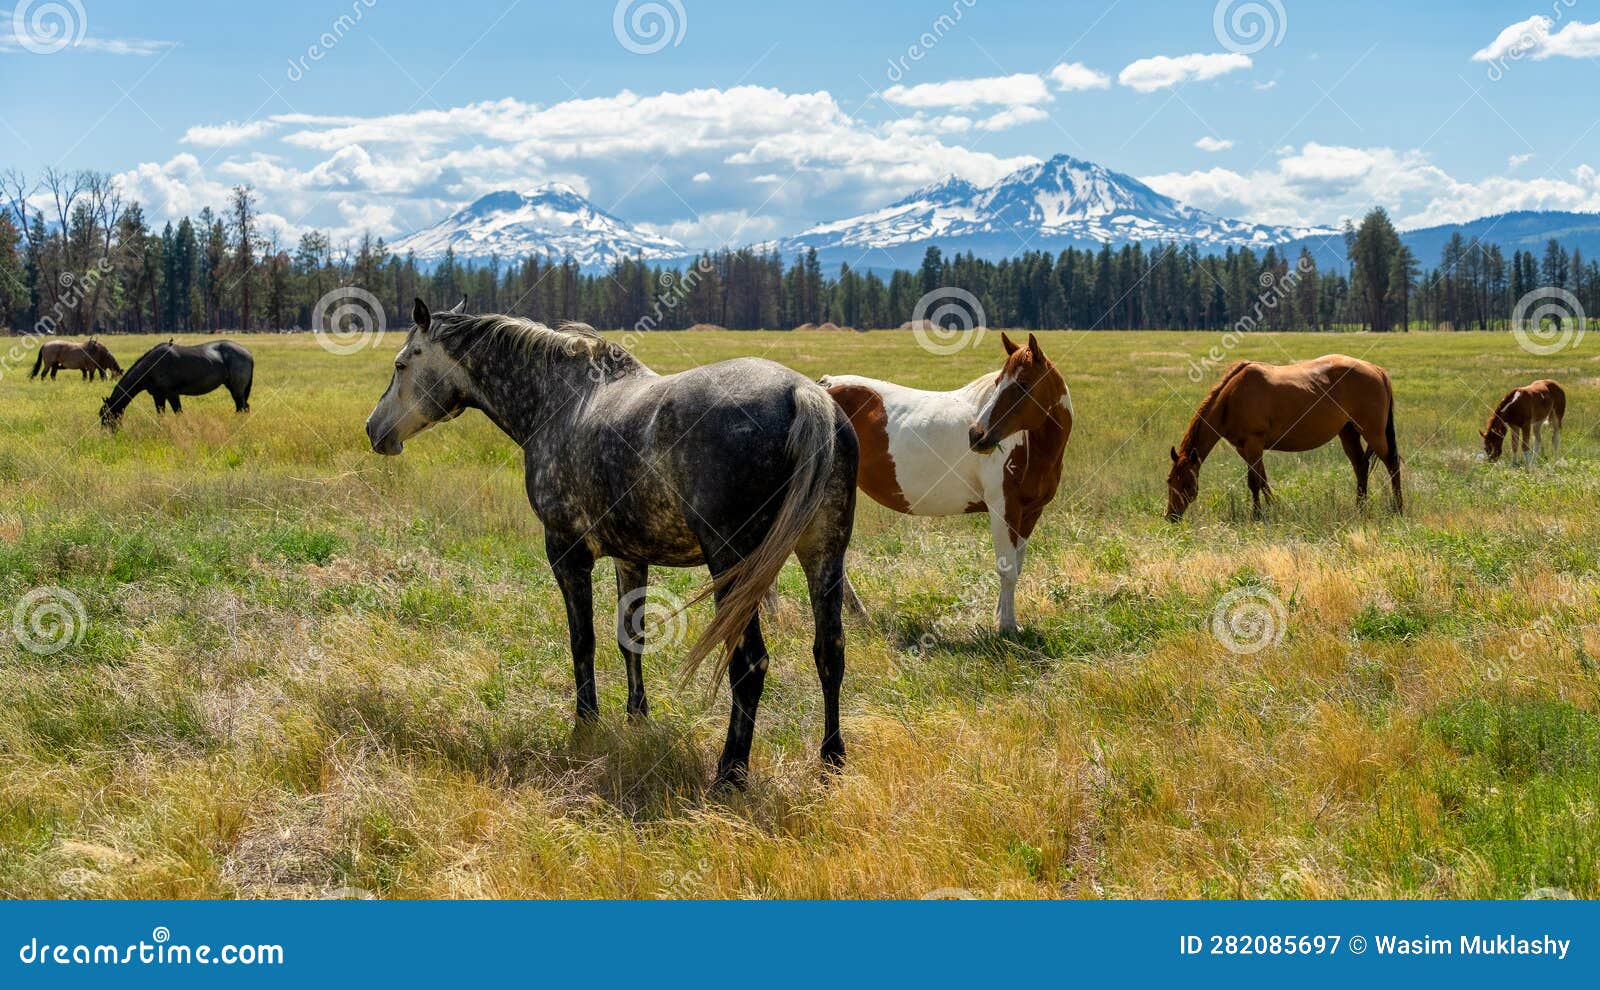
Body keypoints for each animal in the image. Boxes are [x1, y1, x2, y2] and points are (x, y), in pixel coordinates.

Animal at [99, 339, 254, 427]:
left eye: (106, 416)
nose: (107, 434)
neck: (151, 366)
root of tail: (248, 353)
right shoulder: (158, 396)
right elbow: (161, 415)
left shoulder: (172, 394)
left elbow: (179, 413)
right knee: (243, 407)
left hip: (237, 390)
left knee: (242, 407)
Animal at [364, 300, 859, 788]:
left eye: (402, 363)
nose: (374, 429)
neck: (557, 401)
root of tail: (803, 395)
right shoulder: (630, 558)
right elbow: (630, 637)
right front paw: (637, 718)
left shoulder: (566, 553)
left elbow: (582, 640)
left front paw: (585, 725)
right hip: (824, 557)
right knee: (829, 651)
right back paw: (831, 761)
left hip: (733, 567)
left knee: (750, 664)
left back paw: (730, 773)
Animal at [820, 332, 1072, 633]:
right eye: (998, 383)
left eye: (1023, 385)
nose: (977, 435)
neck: (1031, 444)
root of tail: (824, 386)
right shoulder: (1004, 508)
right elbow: (1006, 568)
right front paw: (1008, 626)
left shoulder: (1031, 511)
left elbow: (1017, 566)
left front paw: (1002, 615)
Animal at [1167, 355, 1401, 521]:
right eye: (1169, 481)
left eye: (1187, 484)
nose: (1171, 516)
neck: (1232, 398)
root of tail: (1377, 371)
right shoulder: (1244, 448)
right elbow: (1262, 479)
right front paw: (1274, 508)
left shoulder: (1254, 444)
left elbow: (1254, 482)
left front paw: (1257, 516)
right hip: (1348, 432)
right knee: (1360, 467)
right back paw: (1360, 509)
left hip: (1373, 433)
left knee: (1391, 464)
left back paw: (1397, 508)